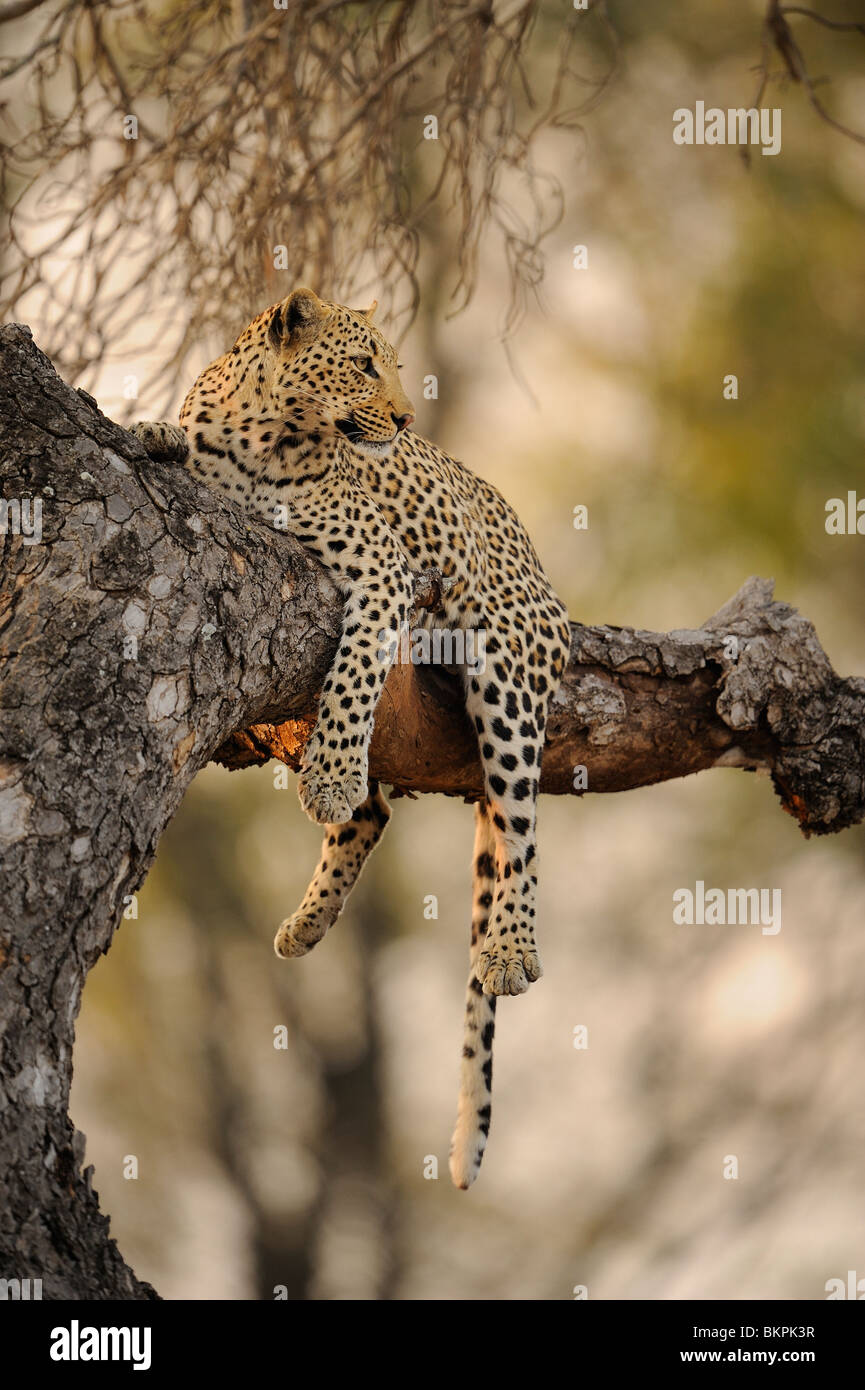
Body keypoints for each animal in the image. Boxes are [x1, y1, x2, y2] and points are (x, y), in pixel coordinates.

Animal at [131, 288, 572, 1189]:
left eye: (394, 366)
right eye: (364, 364)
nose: (405, 419)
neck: (261, 437)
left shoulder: (382, 569)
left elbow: (361, 661)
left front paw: (331, 773)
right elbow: (179, 443)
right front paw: (152, 431)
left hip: (510, 672)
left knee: (521, 825)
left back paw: (511, 948)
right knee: (380, 815)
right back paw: (306, 923)